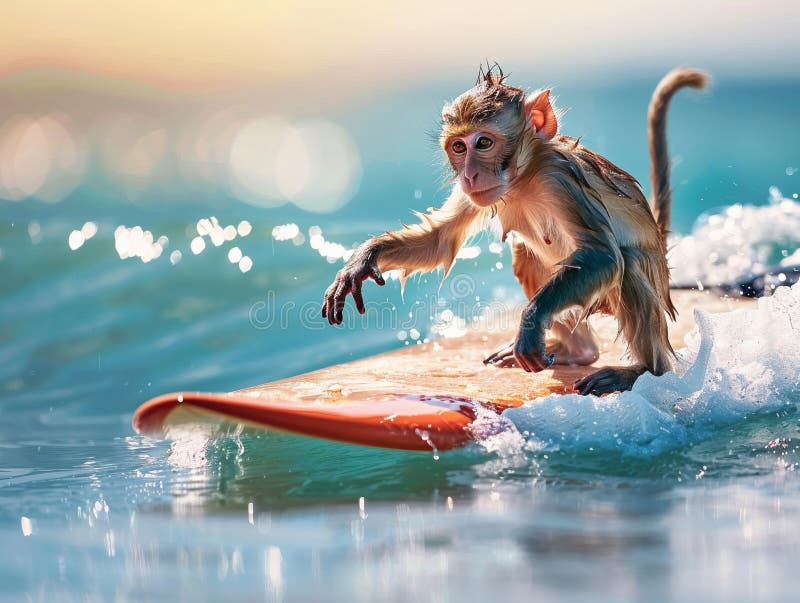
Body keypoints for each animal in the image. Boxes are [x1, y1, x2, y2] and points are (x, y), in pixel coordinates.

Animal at [322, 65, 708, 396]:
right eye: (459, 147)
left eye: (483, 143)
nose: (471, 174)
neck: (524, 177)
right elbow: (440, 241)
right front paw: (363, 259)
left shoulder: (559, 180)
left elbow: (604, 257)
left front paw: (531, 323)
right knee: (526, 254)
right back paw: (579, 351)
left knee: (626, 264)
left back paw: (644, 372)